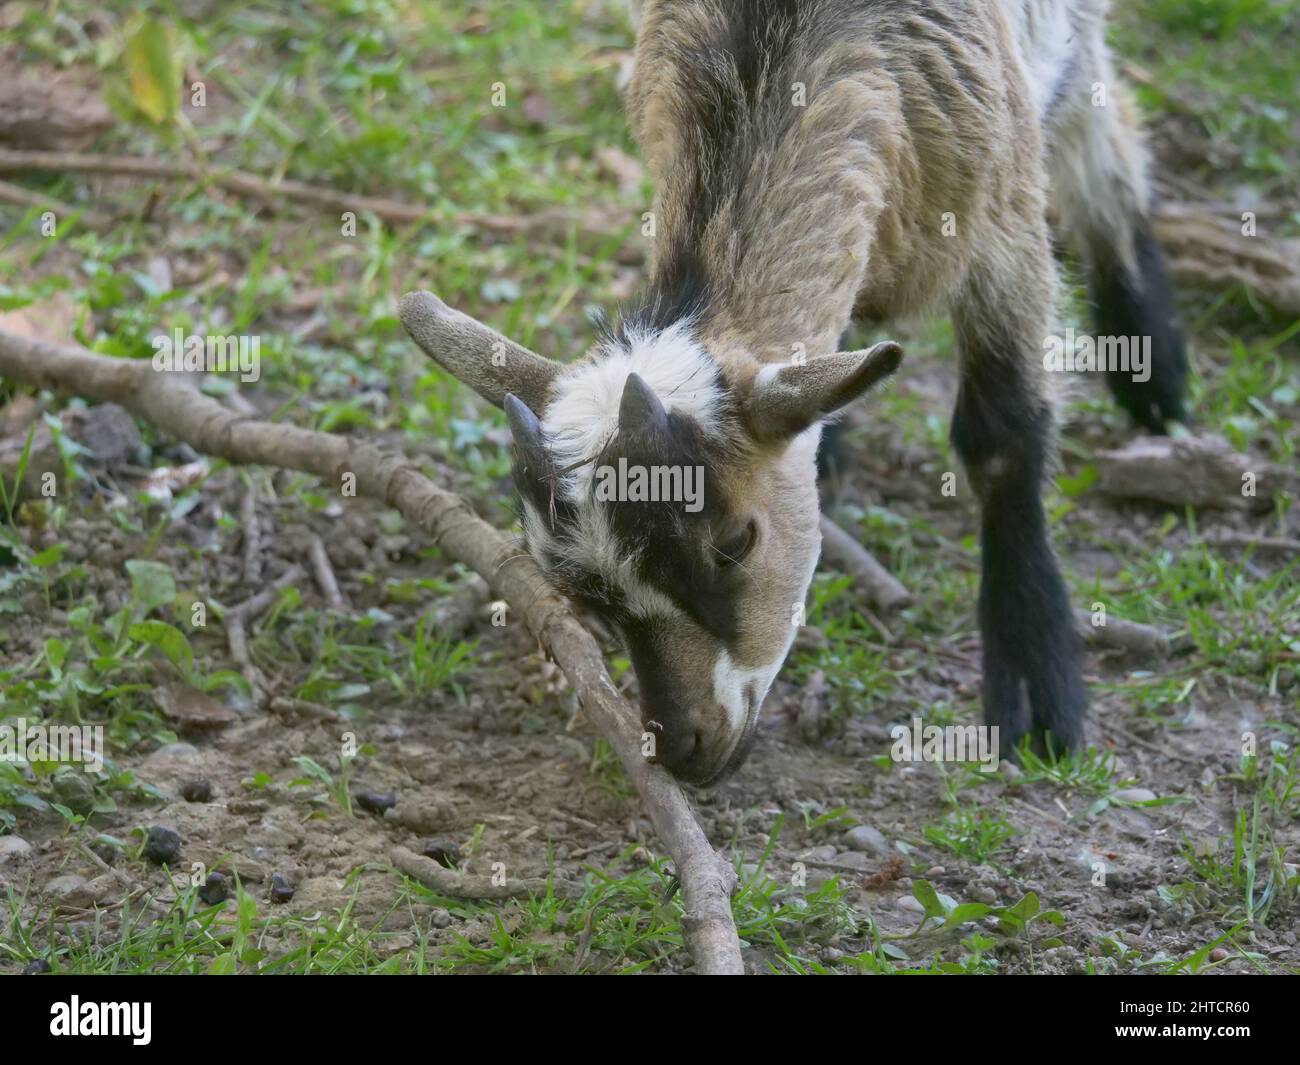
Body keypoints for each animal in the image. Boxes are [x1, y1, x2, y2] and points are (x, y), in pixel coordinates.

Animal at [401, 0, 1188, 785]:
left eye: (736, 542)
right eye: (582, 594)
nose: (684, 749)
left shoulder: (1001, 211)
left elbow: (1002, 439)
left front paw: (1033, 691)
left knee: (1099, 111)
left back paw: (1152, 367)